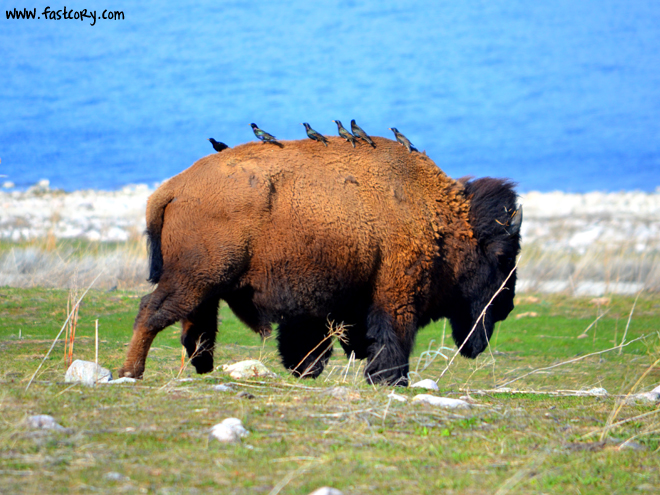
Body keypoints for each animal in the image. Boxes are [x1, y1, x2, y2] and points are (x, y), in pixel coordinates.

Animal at [118, 137, 522, 385]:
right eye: (503, 256)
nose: (507, 305)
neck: (437, 216)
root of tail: (173, 189)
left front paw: (307, 371)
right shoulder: (395, 294)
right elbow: (393, 336)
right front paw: (389, 379)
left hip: (203, 285)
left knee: (195, 324)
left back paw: (202, 367)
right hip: (195, 277)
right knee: (151, 312)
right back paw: (131, 372)